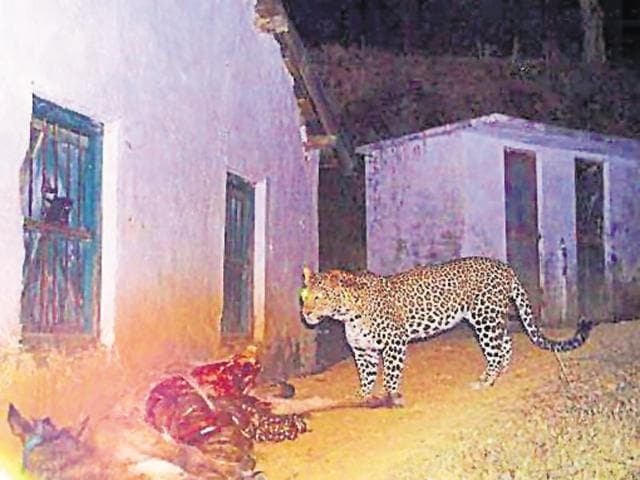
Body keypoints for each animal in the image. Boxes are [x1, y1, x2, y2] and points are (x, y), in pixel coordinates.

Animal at [300, 256, 593, 406]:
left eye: (320, 297)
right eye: (304, 296)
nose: (305, 313)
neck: (347, 314)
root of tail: (505, 267)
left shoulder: (395, 343)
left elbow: (390, 375)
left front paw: (391, 396)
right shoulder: (364, 351)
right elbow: (366, 377)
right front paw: (362, 396)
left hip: (485, 319)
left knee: (496, 350)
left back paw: (487, 380)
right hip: (490, 319)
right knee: (506, 343)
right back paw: (500, 374)